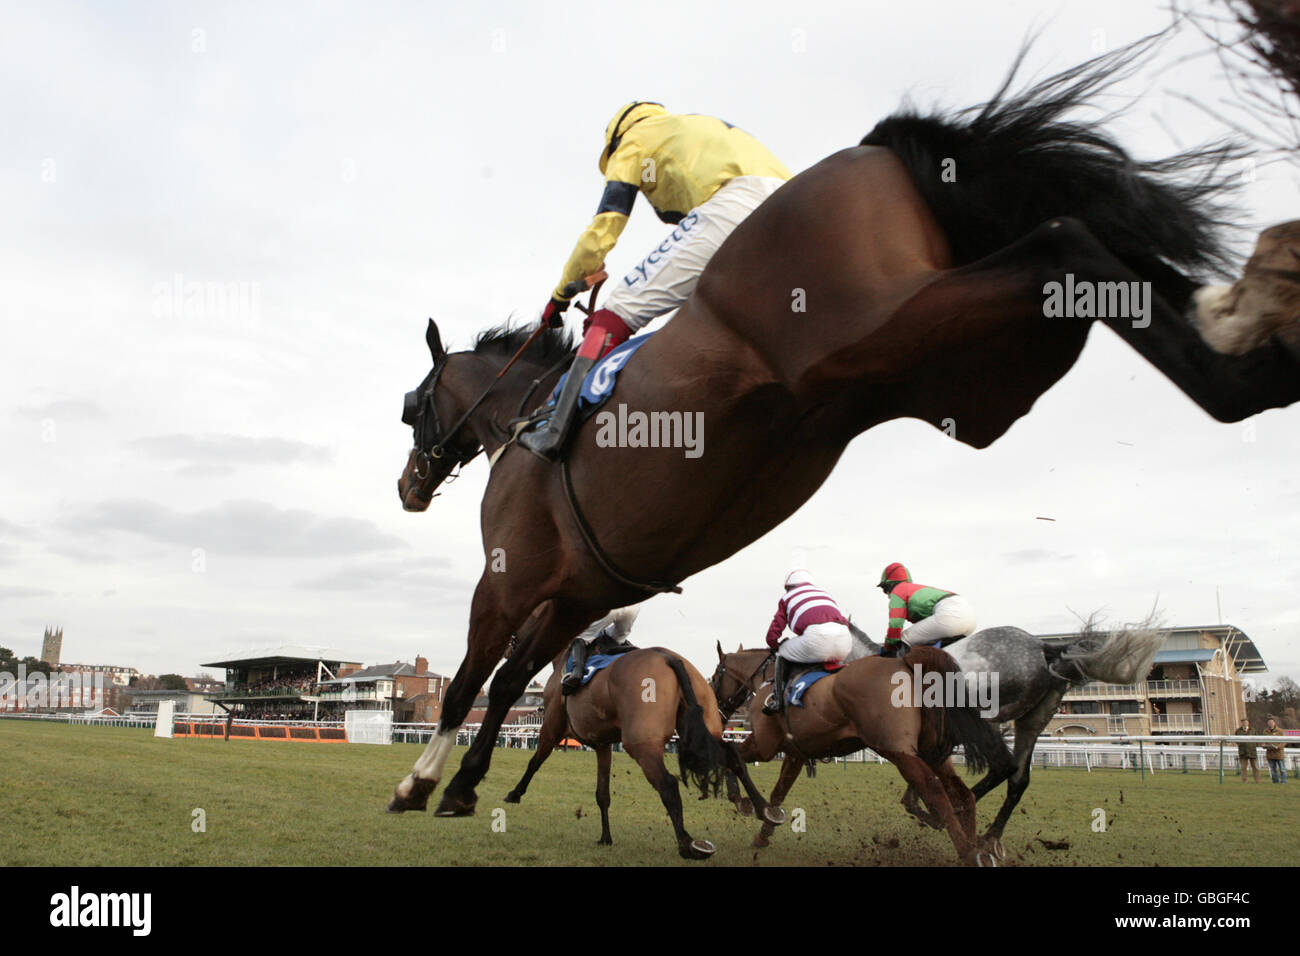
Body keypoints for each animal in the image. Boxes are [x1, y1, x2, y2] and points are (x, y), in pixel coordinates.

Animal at [387, 35, 1299, 819]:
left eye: (412, 405)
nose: (407, 486)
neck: (522, 415)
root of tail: (876, 152)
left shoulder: (507, 581)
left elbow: (470, 682)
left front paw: (418, 781)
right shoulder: (578, 593)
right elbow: (513, 683)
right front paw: (463, 782)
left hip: (890, 331)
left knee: (1064, 238)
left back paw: (1247, 347)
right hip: (961, 376)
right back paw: (1249, 335)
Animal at [502, 646, 784, 859]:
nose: (509, 652)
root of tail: (670, 658)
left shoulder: (551, 727)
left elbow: (535, 761)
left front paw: (515, 793)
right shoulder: (603, 745)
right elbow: (602, 794)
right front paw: (605, 837)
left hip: (641, 744)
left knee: (668, 784)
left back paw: (688, 843)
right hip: (707, 728)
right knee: (733, 756)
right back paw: (764, 808)